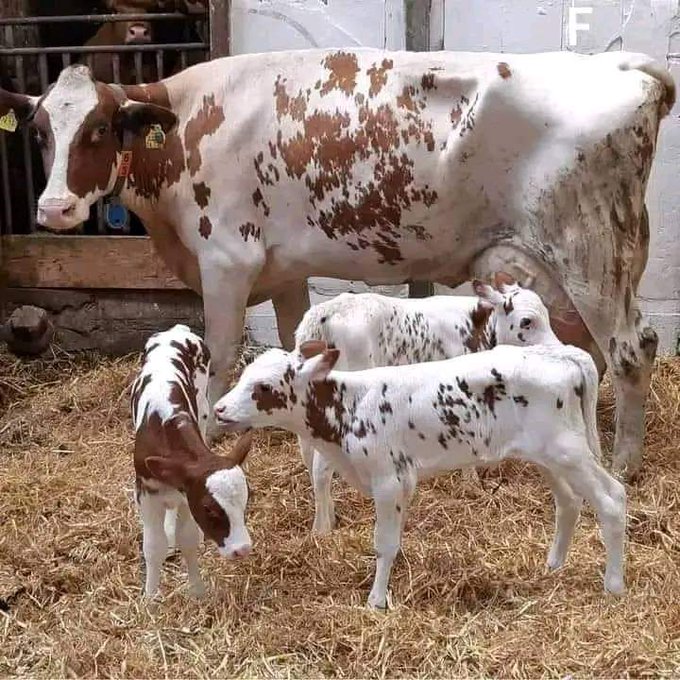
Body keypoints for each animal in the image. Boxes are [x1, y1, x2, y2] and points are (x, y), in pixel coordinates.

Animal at [0, 48, 674, 479]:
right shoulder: (284, 268)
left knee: (631, 348)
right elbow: (293, 340)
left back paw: (625, 462)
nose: (54, 208)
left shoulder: (226, 257)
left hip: (592, 251)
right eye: (40, 132)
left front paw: (213, 429)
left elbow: (220, 353)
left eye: (98, 129)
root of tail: (620, 65)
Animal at [131, 324, 252, 598]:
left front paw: (197, 592)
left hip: (204, 405)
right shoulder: (146, 492)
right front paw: (150, 597)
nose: (242, 550)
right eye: (208, 509)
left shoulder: (186, 493)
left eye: (244, 502)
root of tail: (177, 330)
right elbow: (153, 546)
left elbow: (187, 539)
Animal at [213, 340, 626, 610]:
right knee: (569, 501)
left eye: (263, 387)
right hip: (545, 455)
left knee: (613, 498)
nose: (219, 409)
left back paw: (614, 585)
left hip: (568, 451)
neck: (351, 406)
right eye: (244, 376)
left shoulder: (388, 481)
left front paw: (376, 601)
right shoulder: (401, 482)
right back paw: (553, 567)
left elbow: (384, 544)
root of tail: (560, 353)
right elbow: (394, 542)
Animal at [294, 272, 571, 533]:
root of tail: (323, 313)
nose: (556, 349)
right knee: (320, 466)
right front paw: (471, 481)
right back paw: (323, 529)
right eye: (526, 321)